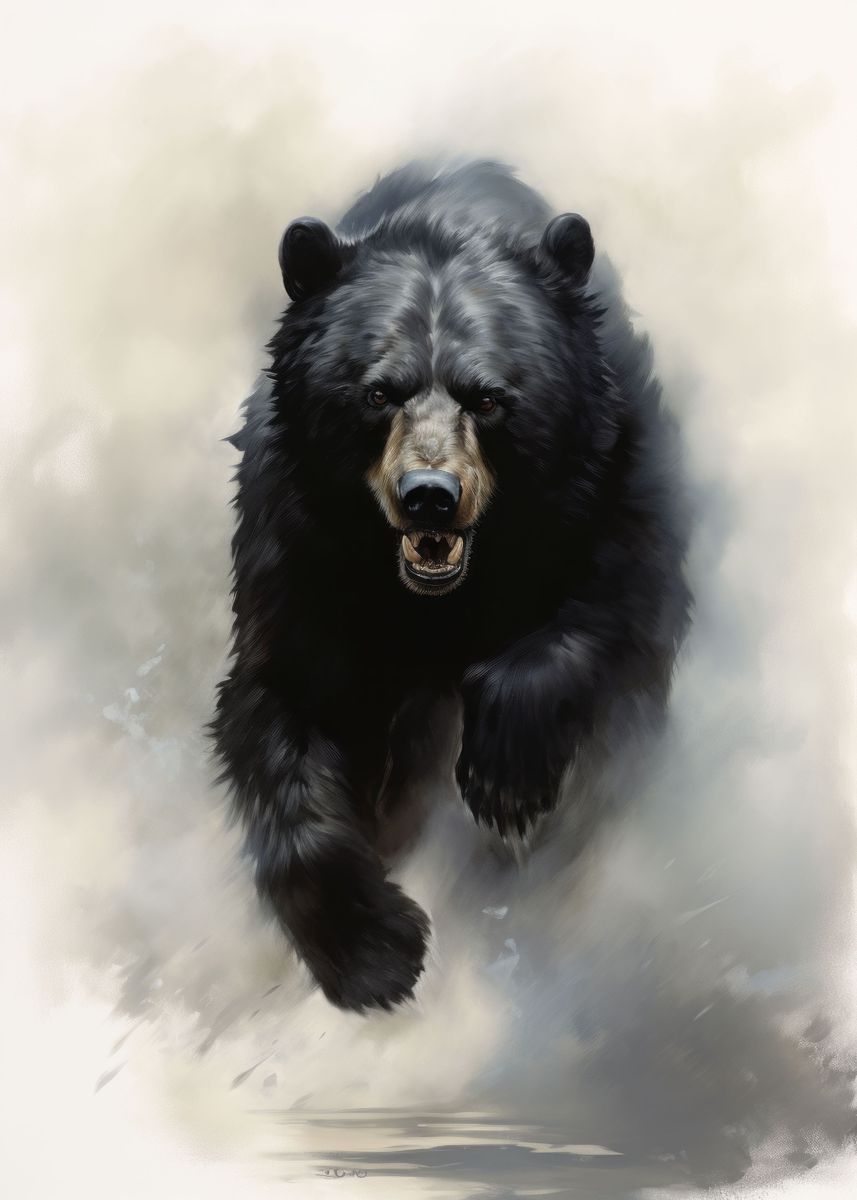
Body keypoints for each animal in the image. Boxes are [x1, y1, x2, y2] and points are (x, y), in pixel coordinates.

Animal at [210, 158, 691, 1013]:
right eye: (376, 392)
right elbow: (283, 709)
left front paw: (504, 780)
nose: (428, 495)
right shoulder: (299, 550)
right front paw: (375, 952)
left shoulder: (613, 471)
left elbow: (619, 604)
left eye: (489, 397)